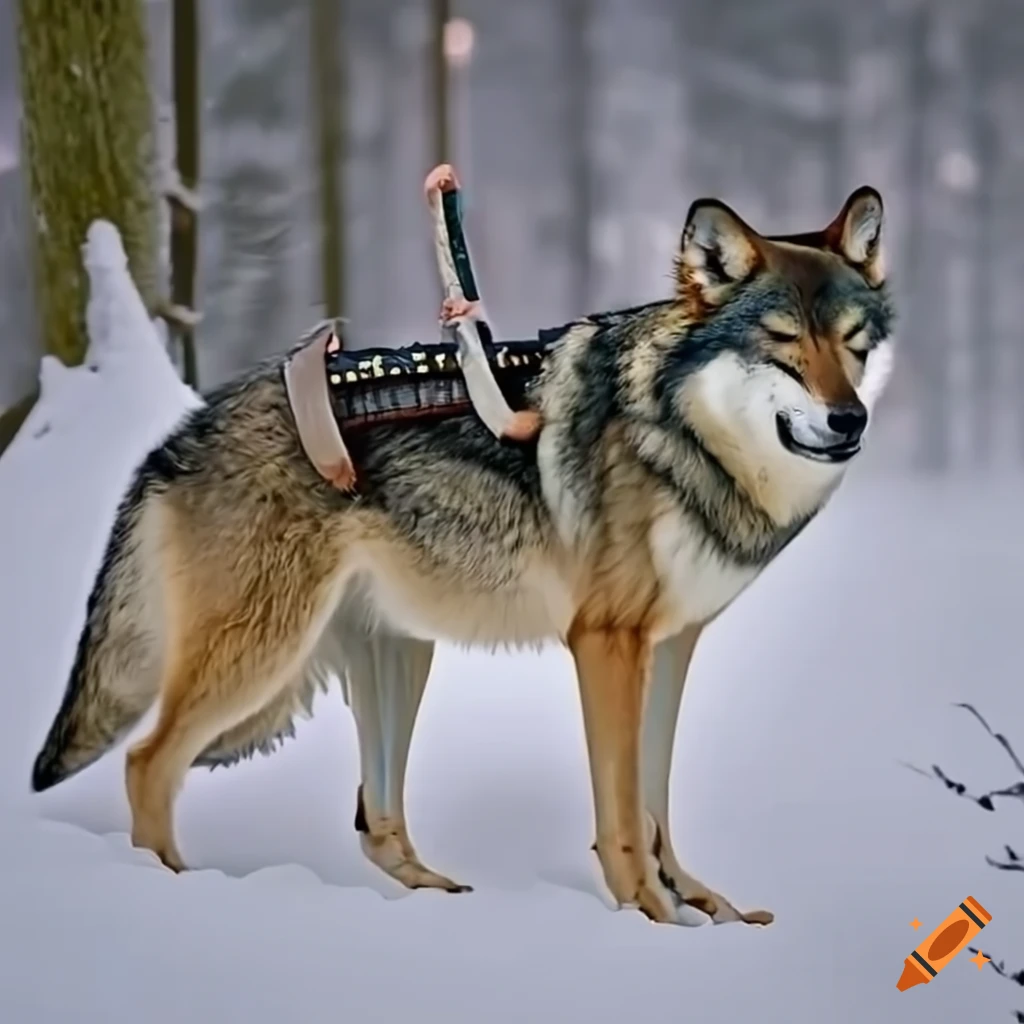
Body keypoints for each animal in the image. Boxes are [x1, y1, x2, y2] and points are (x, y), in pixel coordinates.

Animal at [31, 186, 894, 927]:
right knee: (147, 763)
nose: (849, 420)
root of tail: (178, 436)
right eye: (783, 345)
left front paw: (699, 905)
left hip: (396, 655)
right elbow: (621, 810)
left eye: (853, 347)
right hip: (263, 656)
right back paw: (177, 890)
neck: (679, 433)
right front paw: (651, 916)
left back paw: (441, 898)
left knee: (376, 822)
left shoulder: (674, 644)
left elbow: (656, 802)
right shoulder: (606, 643)